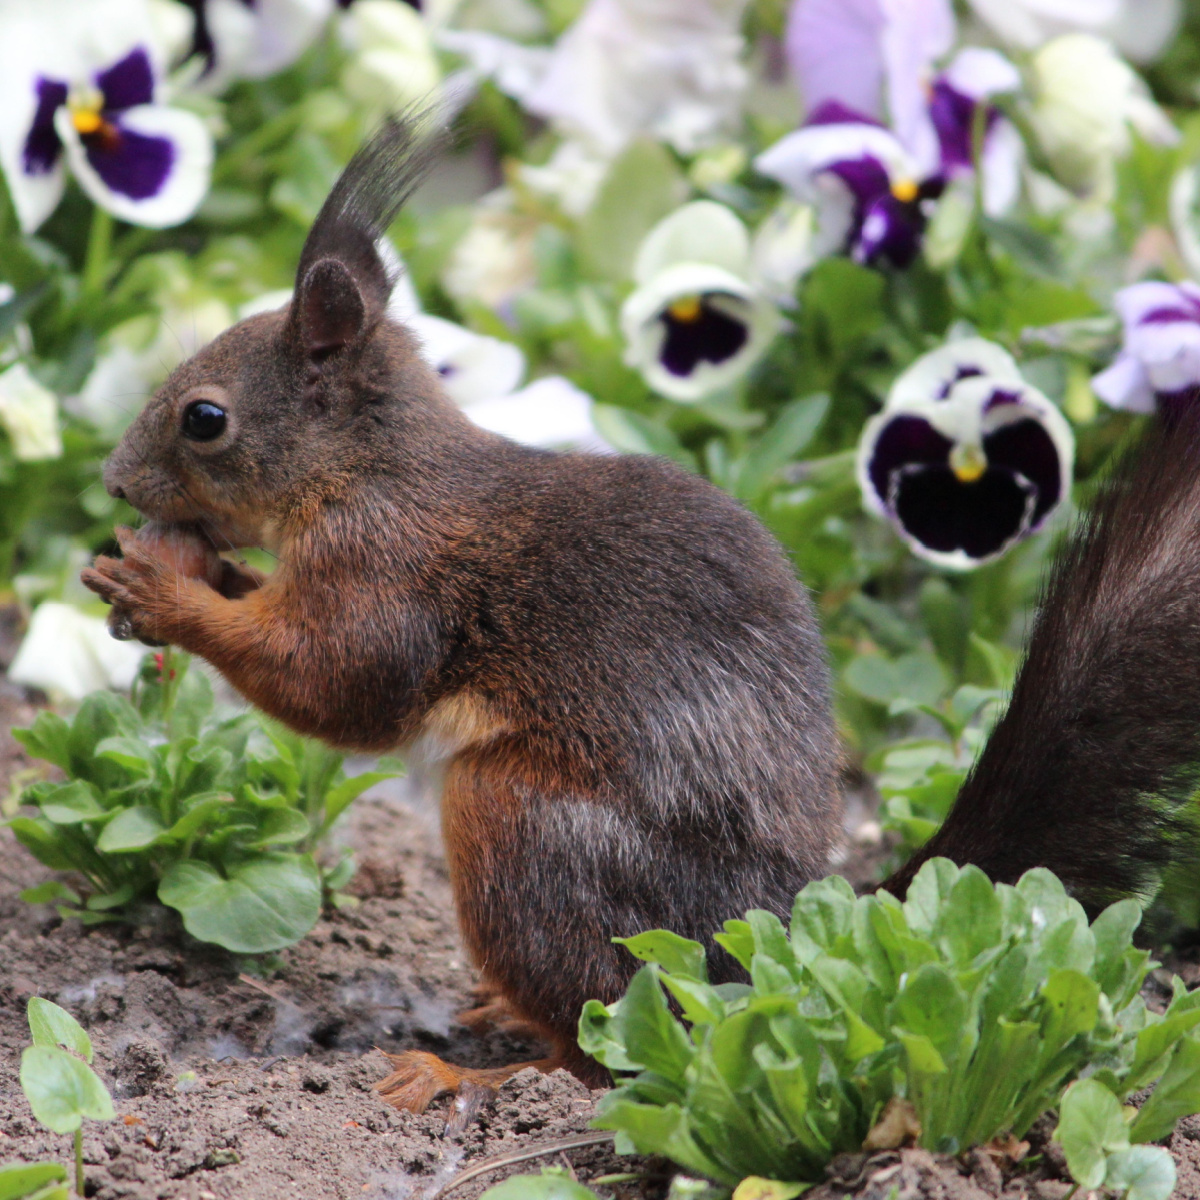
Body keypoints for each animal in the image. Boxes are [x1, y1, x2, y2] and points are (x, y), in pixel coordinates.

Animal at [81, 120, 1200, 1114]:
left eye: (206, 418)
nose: (116, 483)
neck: (370, 469)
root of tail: (769, 937)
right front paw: (199, 574)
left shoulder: (387, 574)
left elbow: (338, 685)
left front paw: (164, 596)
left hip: (519, 825)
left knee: (605, 1051)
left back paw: (467, 1075)